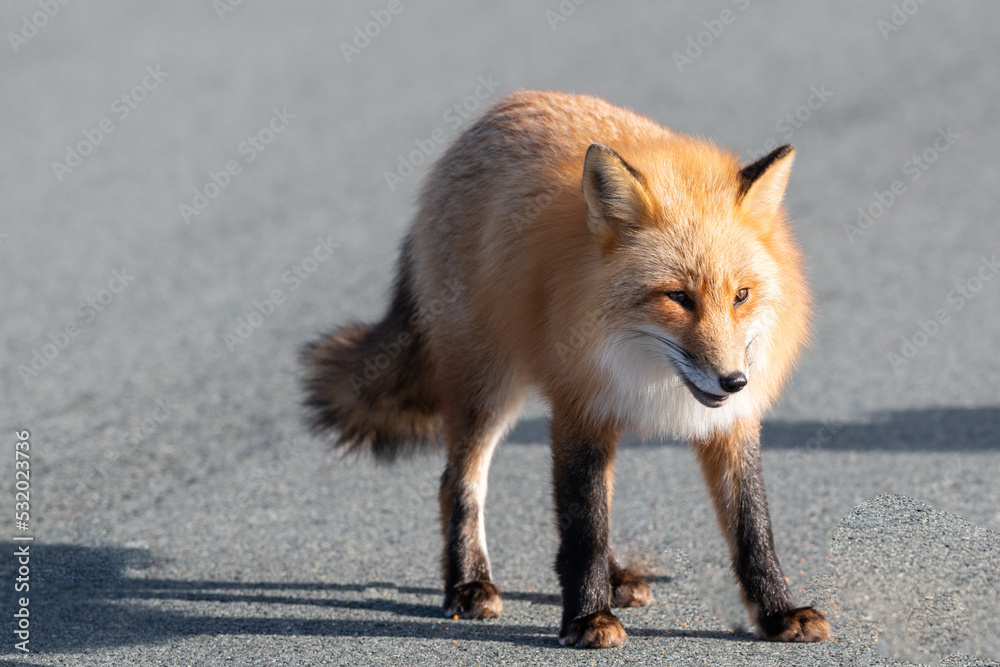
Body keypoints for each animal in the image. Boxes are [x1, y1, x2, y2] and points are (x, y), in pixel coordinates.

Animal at [301, 90, 832, 648]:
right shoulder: (579, 408)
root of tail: (496, 112)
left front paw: (778, 612)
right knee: (457, 483)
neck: (646, 370)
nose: (733, 381)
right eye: (678, 297)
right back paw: (469, 583)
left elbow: (753, 529)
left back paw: (616, 577)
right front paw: (587, 618)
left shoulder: (728, 423)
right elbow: (584, 529)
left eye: (742, 296)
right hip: (489, 387)